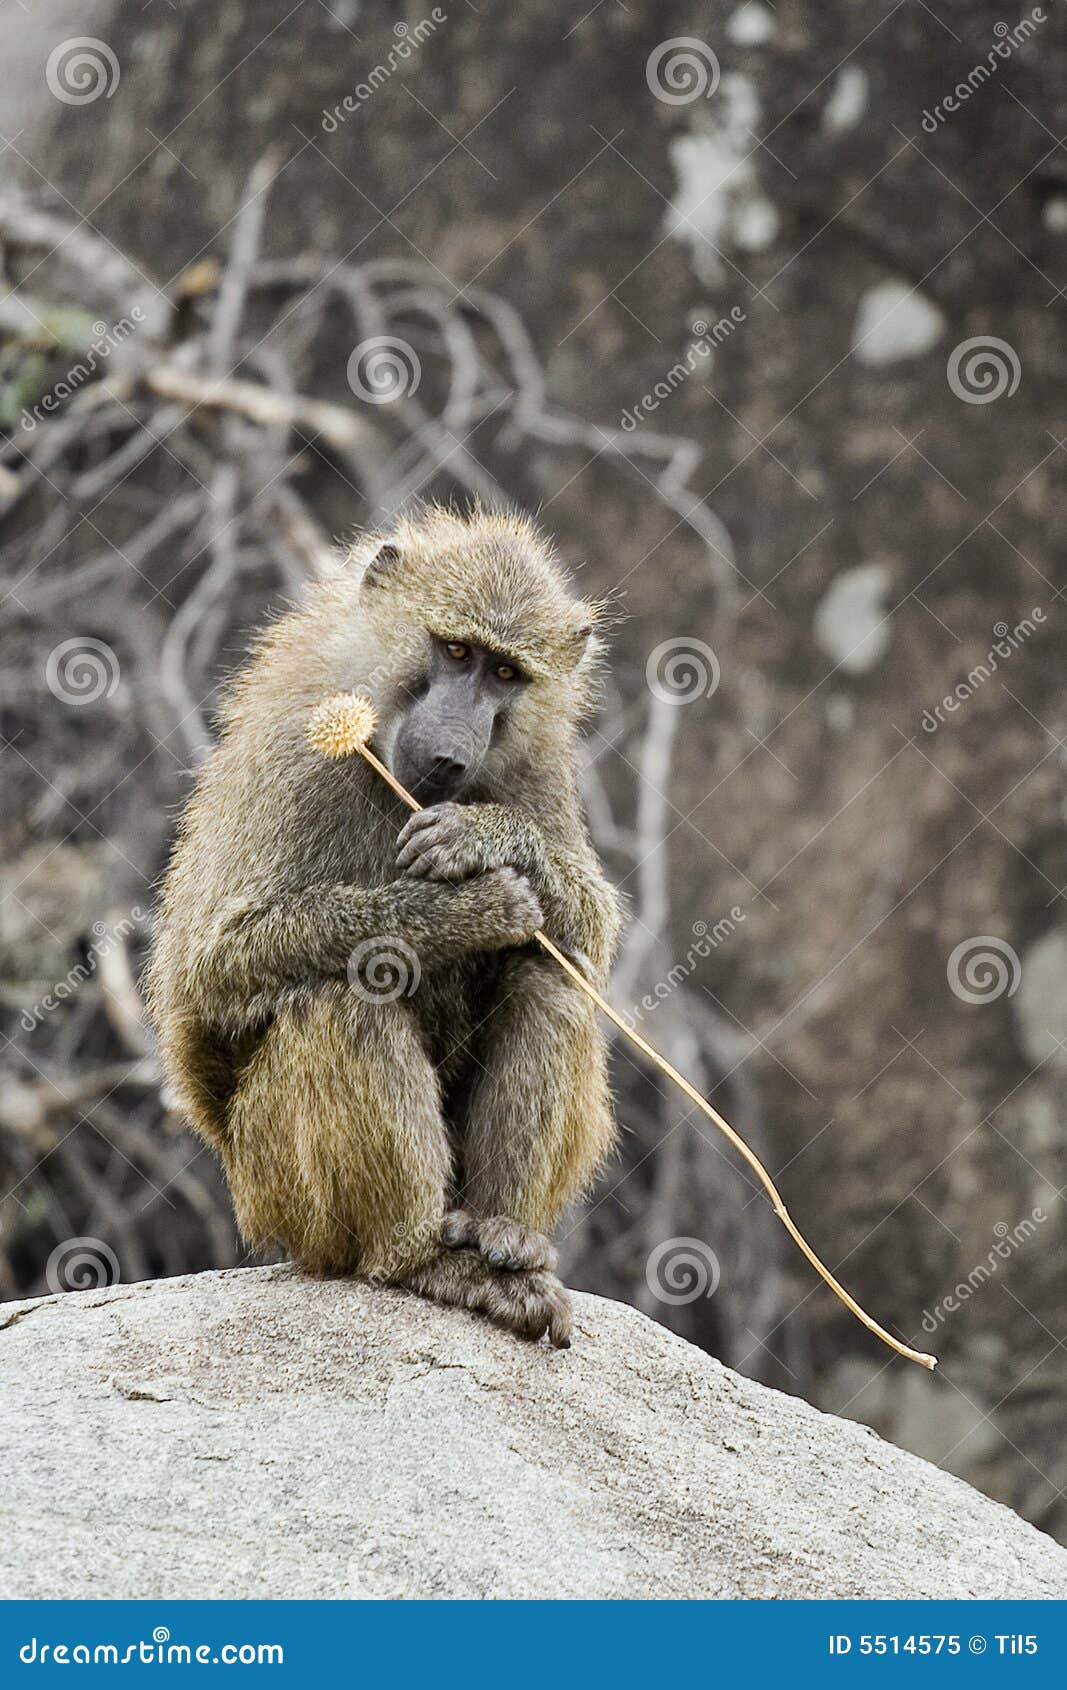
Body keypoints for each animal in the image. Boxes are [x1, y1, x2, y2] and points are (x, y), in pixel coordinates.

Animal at [147, 506, 622, 1347]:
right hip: (280, 1194)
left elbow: (592, 931)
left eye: (505, 674)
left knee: (547, 973)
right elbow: (212, 967)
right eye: (455, 650)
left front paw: (486, 839)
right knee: (347, 995)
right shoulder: (297, 752)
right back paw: (417, 1258)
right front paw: (466, 910)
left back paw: (503, 1239)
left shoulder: (539, 766)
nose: (450, 754)